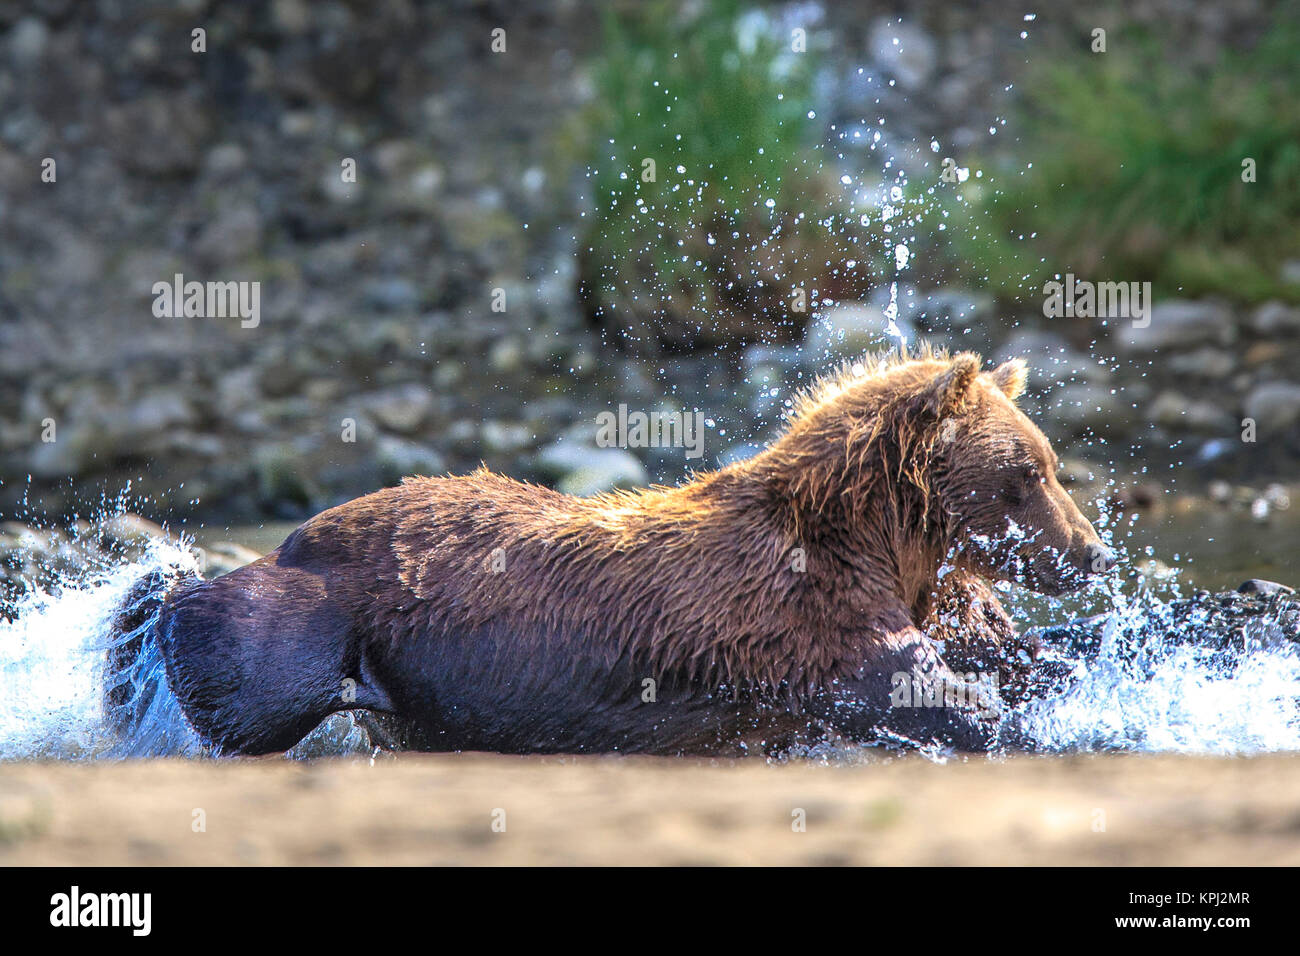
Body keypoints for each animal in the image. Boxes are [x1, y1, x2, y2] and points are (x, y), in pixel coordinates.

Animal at [108, 346, 1114, 756]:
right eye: (1030, 471)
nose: (1096, 552)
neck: (883, 542)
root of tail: (299, 530)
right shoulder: (810, 624)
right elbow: (931, 694)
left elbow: (1005, 657)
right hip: (334, 602)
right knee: (246, 676)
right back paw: (151, 594)